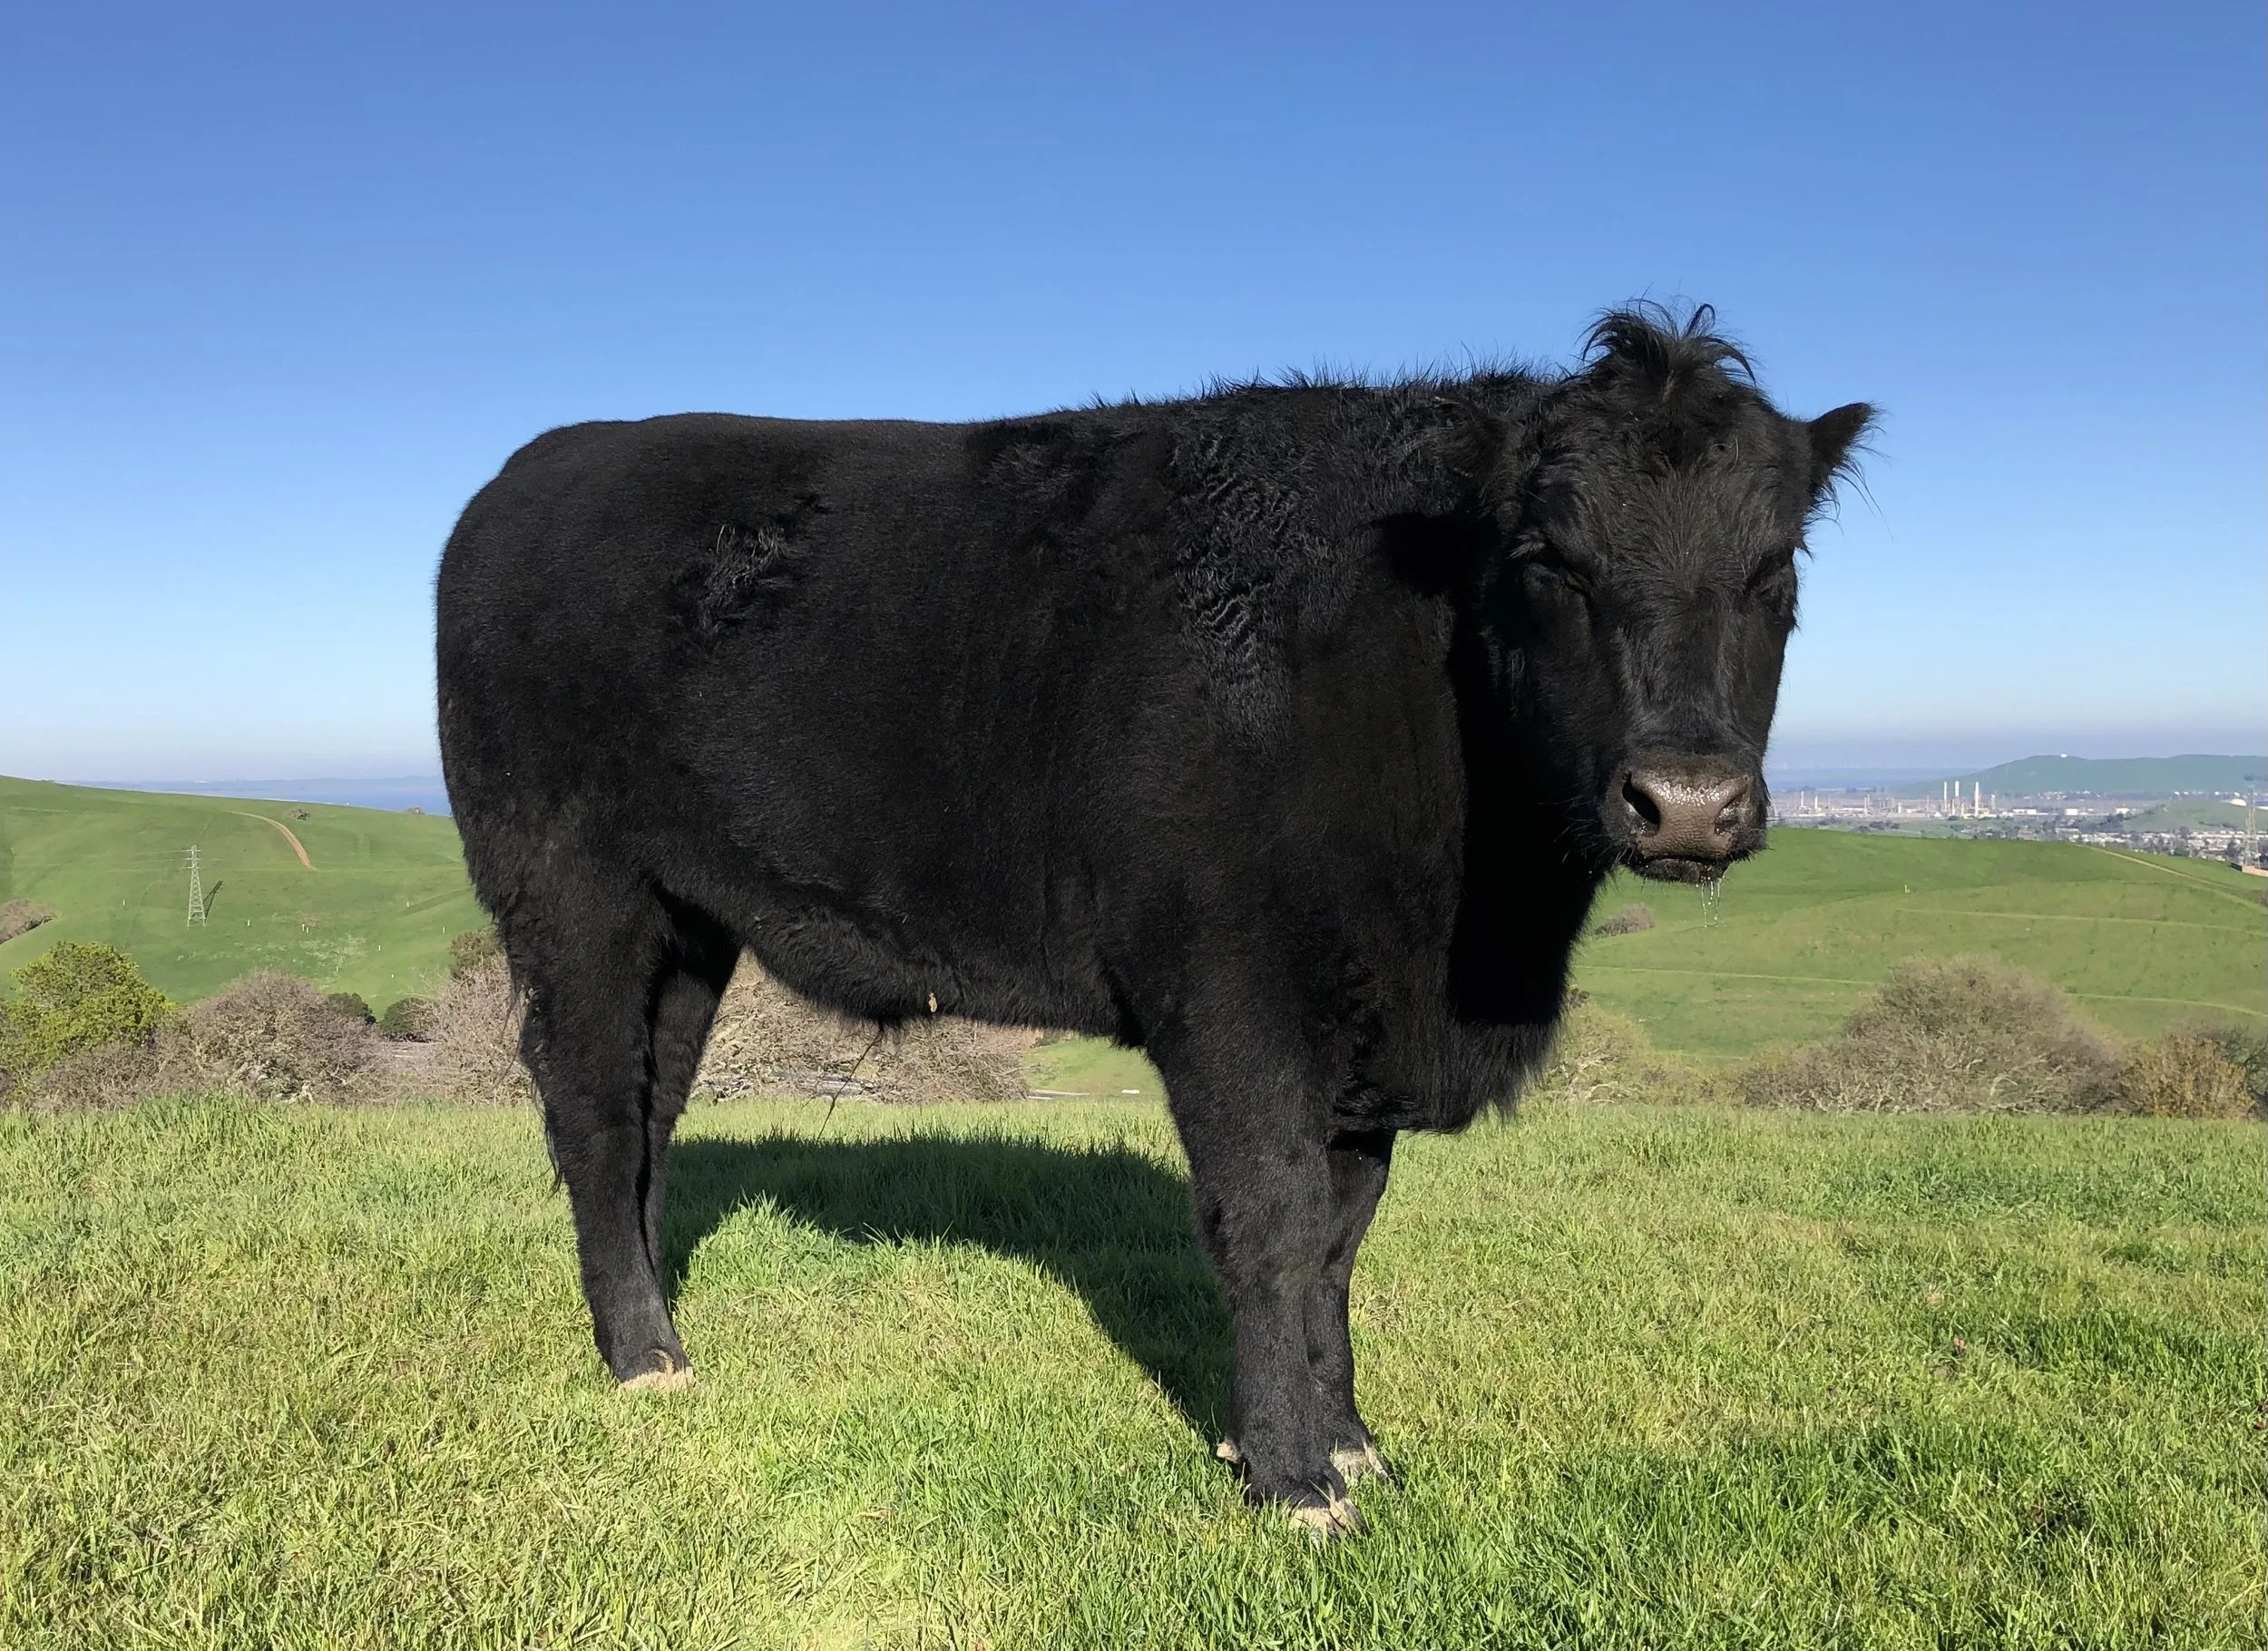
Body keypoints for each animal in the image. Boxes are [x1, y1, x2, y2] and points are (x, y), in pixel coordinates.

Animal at [436, 305, 1871, 1537]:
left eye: (1774, 567)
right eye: (1547, 561)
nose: (1686, 801)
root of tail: (539, 468)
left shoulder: (1360, 1026)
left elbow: (1342, 1232)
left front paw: (1347, 1438)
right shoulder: (1233, 994)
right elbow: (1273, 1219)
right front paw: (1292, 1480)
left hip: (692, 919)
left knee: (653, 1107)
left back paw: (662, 1325)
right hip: (572, 889)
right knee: (592, 1108)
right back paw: (642, 1357)